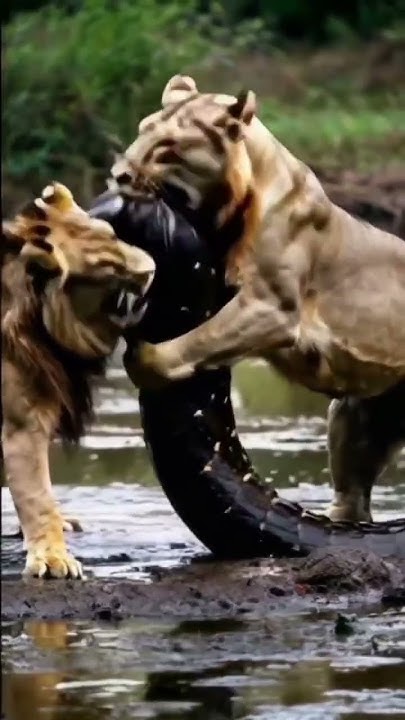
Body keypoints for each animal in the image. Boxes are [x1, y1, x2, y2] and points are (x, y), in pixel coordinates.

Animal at [1, 182, 155, 578]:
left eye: (115, 235)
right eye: (105, 267)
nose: (152, 268)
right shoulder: (21, 424)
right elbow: (37, 496)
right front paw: (53, 558)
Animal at [114, 74, 405, 524]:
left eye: (168, 148)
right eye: (142, 131)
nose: (118, 175)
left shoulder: (272, 307)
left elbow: (202, 339)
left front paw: (145, 359)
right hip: (352, 421)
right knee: (353, 503)